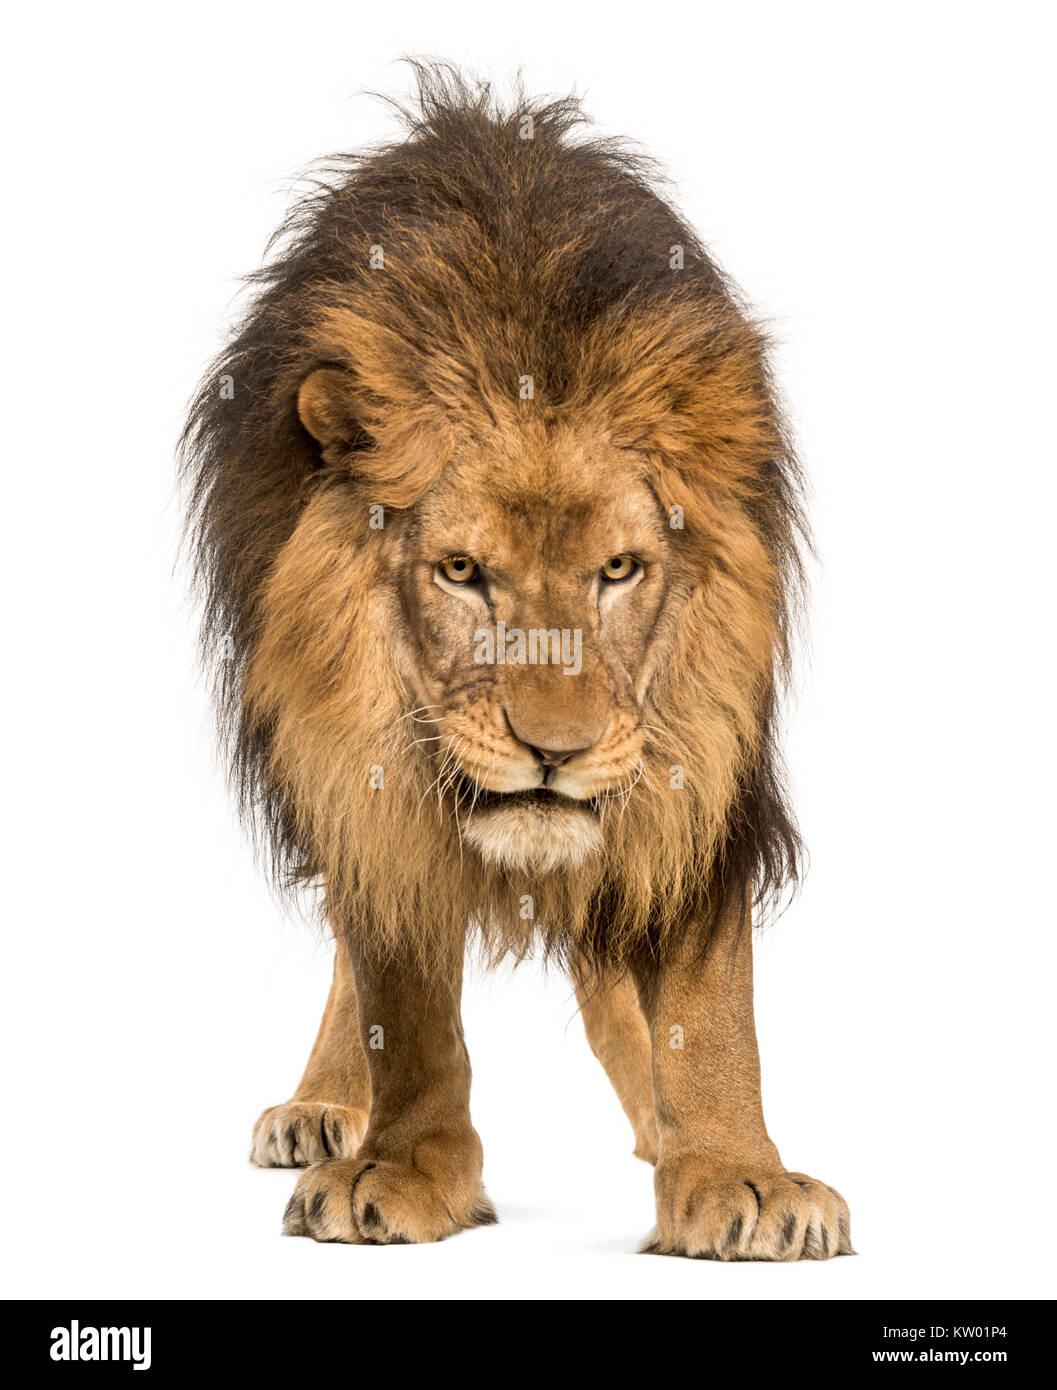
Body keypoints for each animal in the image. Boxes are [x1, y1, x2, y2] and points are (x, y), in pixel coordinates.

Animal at [181, 64, 852, 1260]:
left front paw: (736, 1171)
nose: (556, 751)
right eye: (459, 571)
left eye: (620, 569)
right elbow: (400, 986)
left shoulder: (704, 756)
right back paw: (328, 1100)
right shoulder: (362, 759)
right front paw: (402, 1164)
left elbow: (707, 995)